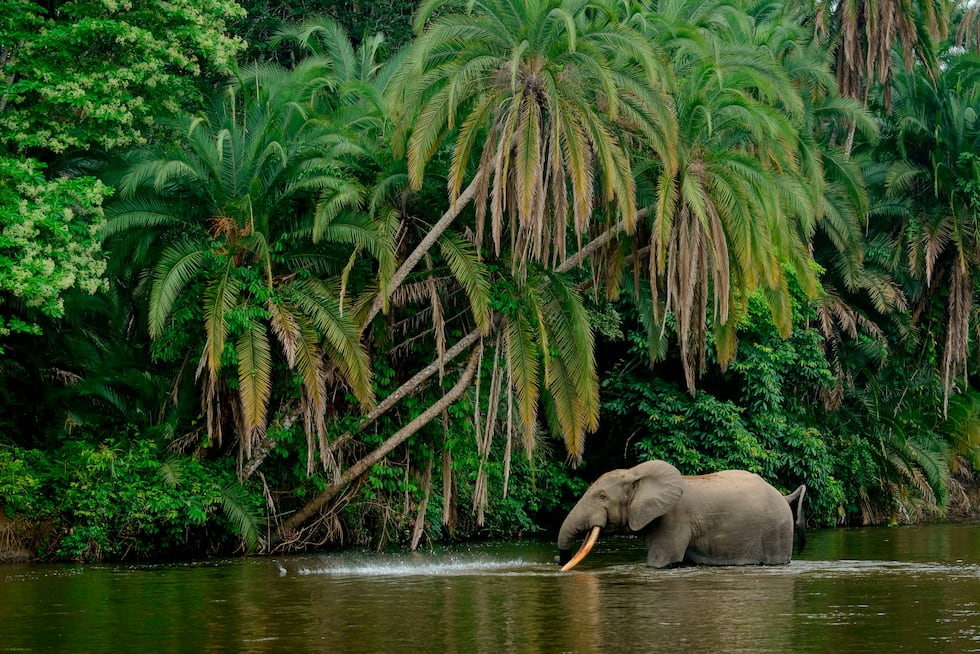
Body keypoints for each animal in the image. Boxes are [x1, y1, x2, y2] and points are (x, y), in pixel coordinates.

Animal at [557, 460, 806, 570]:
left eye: (601, 497)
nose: (559, 562)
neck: (636, 473)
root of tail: (784, 496)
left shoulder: (673, 520)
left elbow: (660, 563)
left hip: (777, 529)